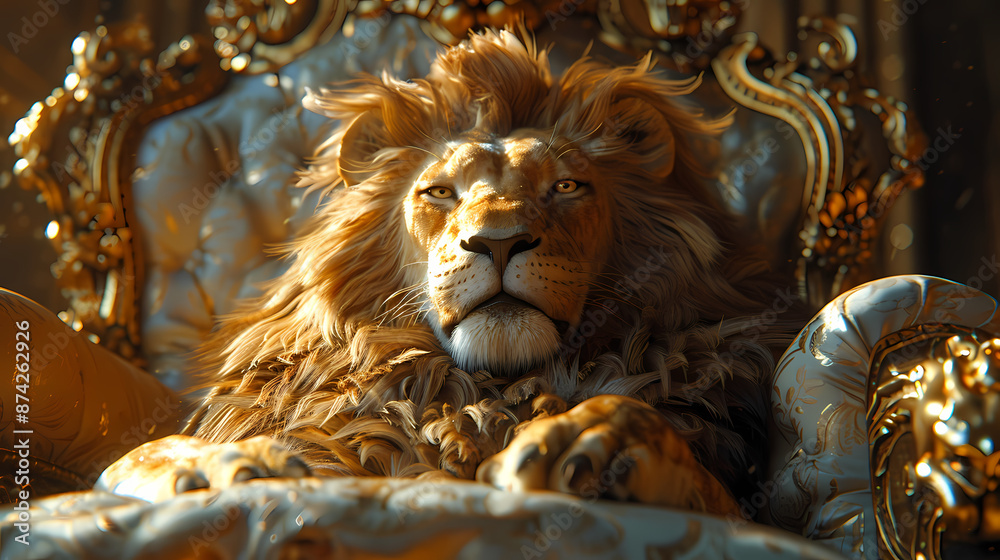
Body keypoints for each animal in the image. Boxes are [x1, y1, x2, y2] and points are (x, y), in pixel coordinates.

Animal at [100, 29, 802, 517]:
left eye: (567, 186)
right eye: (439, 192)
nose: (498, 241)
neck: (481, 397)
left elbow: (645, 422)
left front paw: (592, 441)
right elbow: (142, 449)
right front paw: (223, 464)